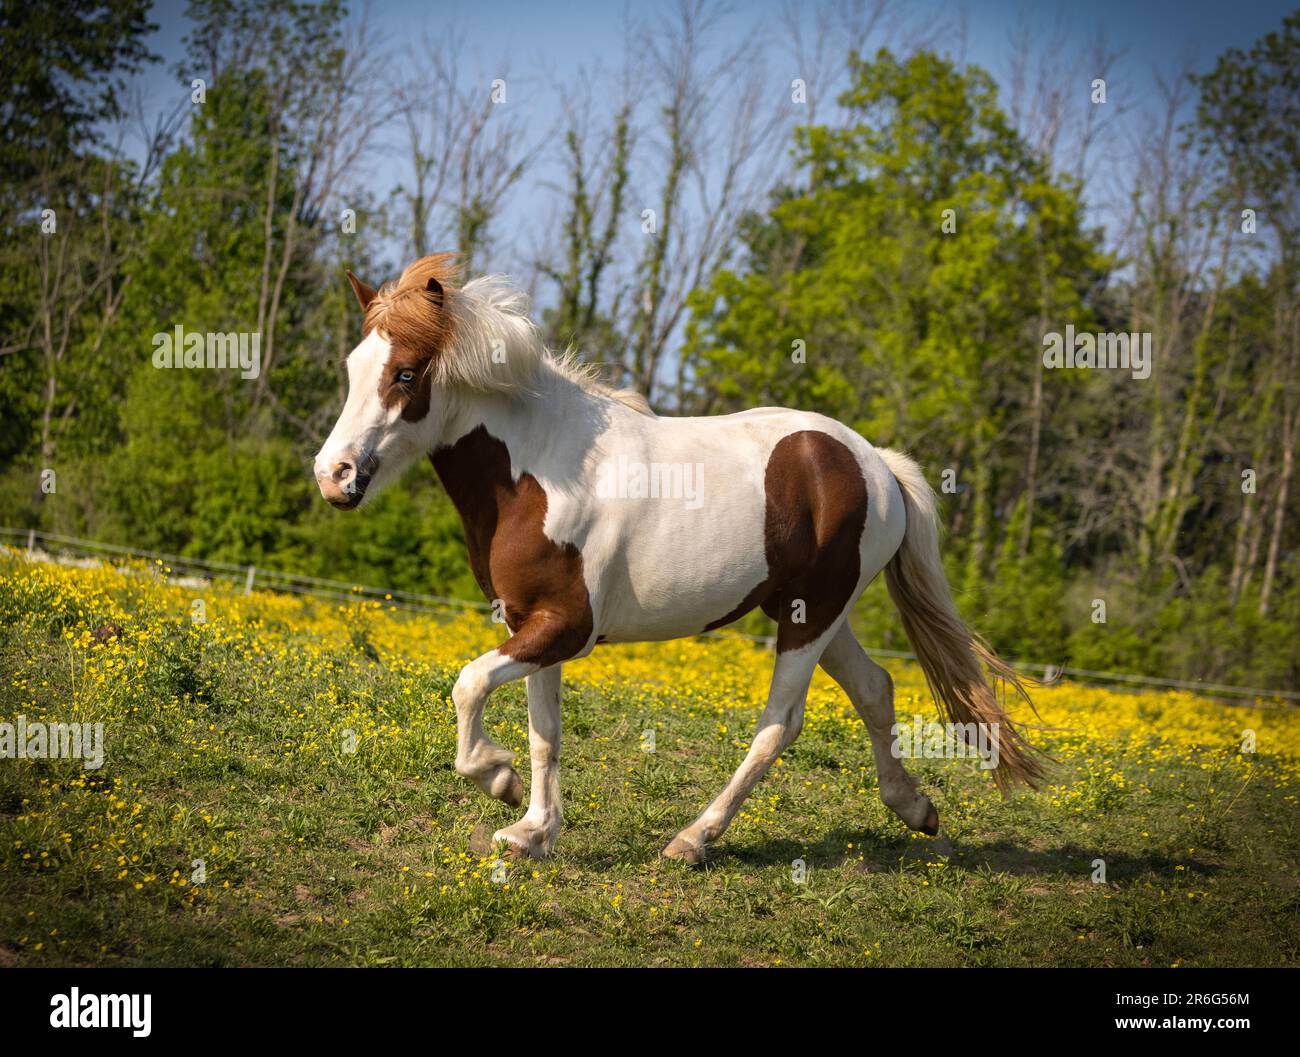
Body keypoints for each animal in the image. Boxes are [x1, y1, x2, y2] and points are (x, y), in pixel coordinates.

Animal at [313, 254, 1044, 863]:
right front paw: (530, 832)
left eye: (407, 373)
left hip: (811, 618)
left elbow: (468, 686)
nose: (333, 475)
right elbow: (544, 731)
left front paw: (497, 778)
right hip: (810, 613)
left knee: (779, 724)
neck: (540, 470)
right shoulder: (530, 624)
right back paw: (915, 808)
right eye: (352, 368)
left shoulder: (567, 628)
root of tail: (877, 464)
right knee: (876, 688)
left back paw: (694, 839)